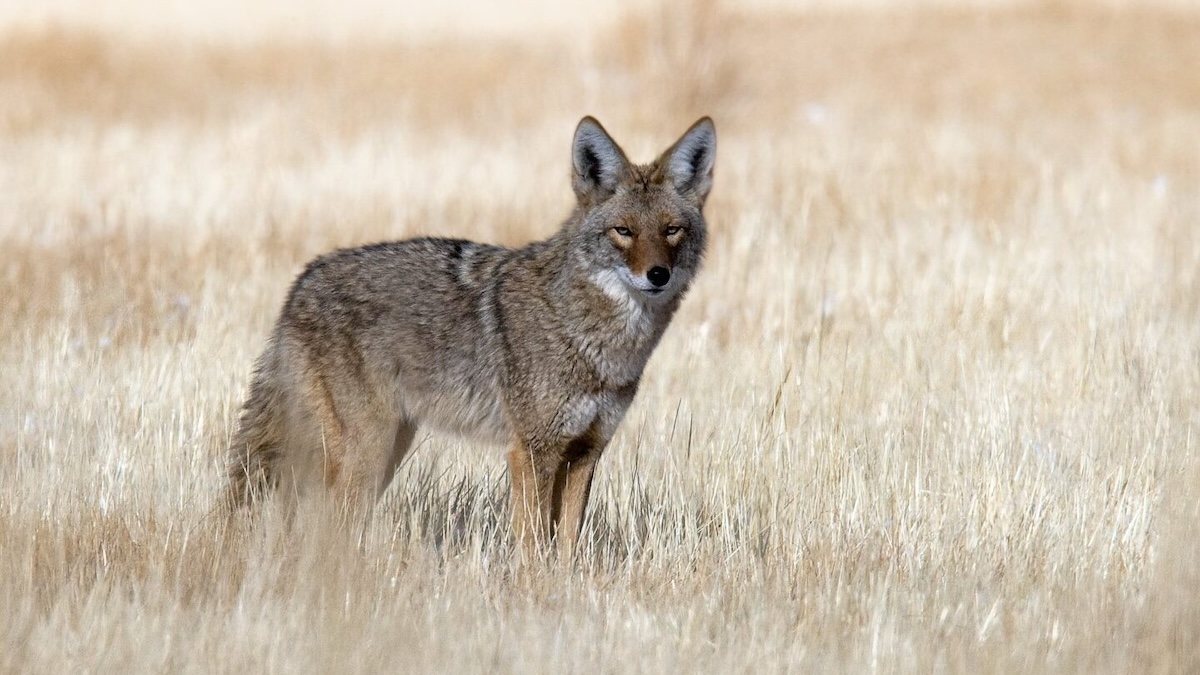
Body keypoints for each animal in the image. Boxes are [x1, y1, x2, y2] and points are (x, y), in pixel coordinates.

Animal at [226, 116, 716, 557]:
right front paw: (533, 593)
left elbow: (566, 548)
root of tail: (302, 282)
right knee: (326, 527)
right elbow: (534, 546)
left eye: (671, 230)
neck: (596, 341)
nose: (657, 275)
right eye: (624, 232)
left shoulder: (585, 452)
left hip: (386, 450)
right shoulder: (531, 452)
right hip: (363, 451)